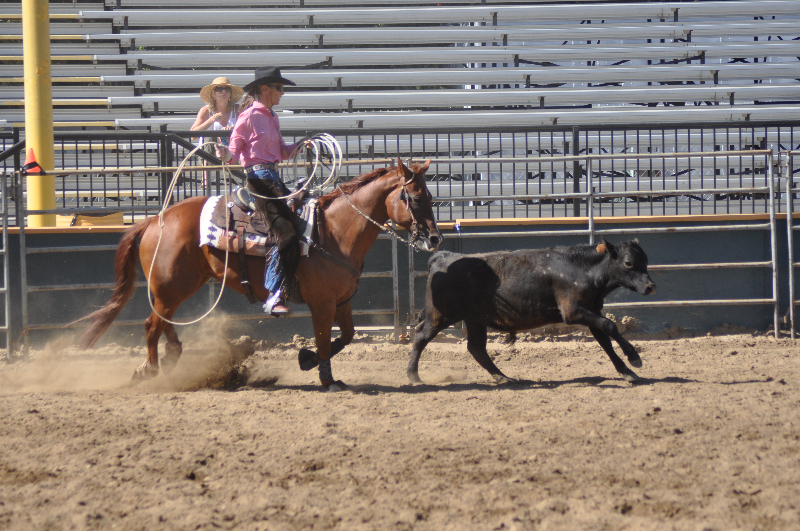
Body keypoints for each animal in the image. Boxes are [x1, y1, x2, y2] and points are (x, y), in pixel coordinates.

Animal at [77, 159, 442, 391]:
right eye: (415, 197)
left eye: (431, 195)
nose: (436, 238)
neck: (335, 231)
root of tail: (154, 220)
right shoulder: (321, 304)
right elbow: (325, 340)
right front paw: (326, 379)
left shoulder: (341, 301)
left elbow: (347, 336)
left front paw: (307, 361)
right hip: (171, 287)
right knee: (151, 325)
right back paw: (150, 369)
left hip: (179, 286)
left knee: (161, 321)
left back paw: (171, 356)